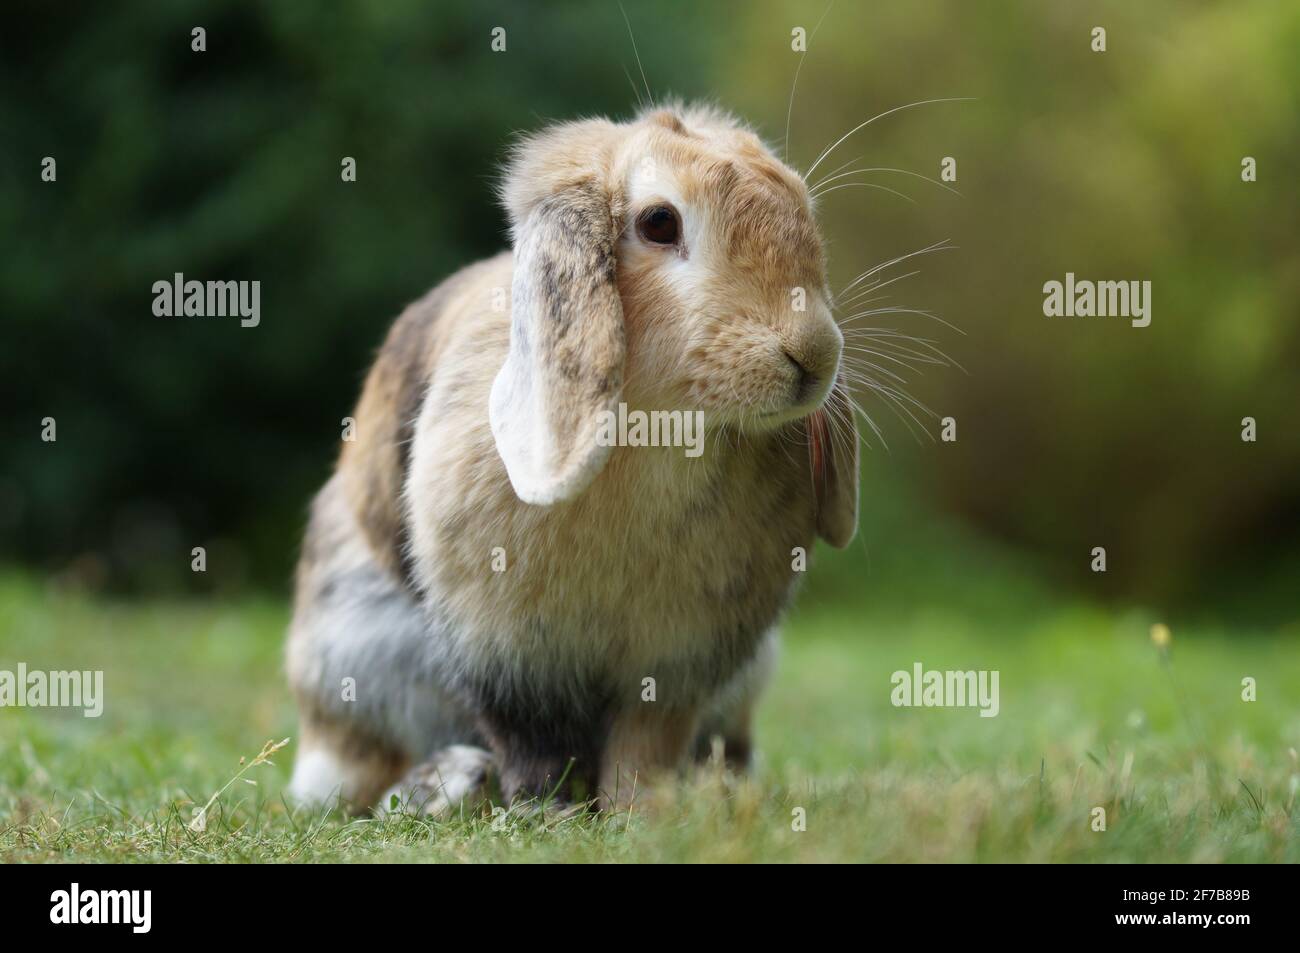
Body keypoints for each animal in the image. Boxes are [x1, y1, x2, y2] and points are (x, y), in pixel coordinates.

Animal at [285, 102, 858, 815]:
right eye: (659, 223)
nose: (813, 354)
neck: (663, 429)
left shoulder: (678, 664)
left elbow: (646, 745)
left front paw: (644, 814)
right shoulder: (510, 655)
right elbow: (534, 743)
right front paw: (550, 812)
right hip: (356, 658)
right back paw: (446, 783)